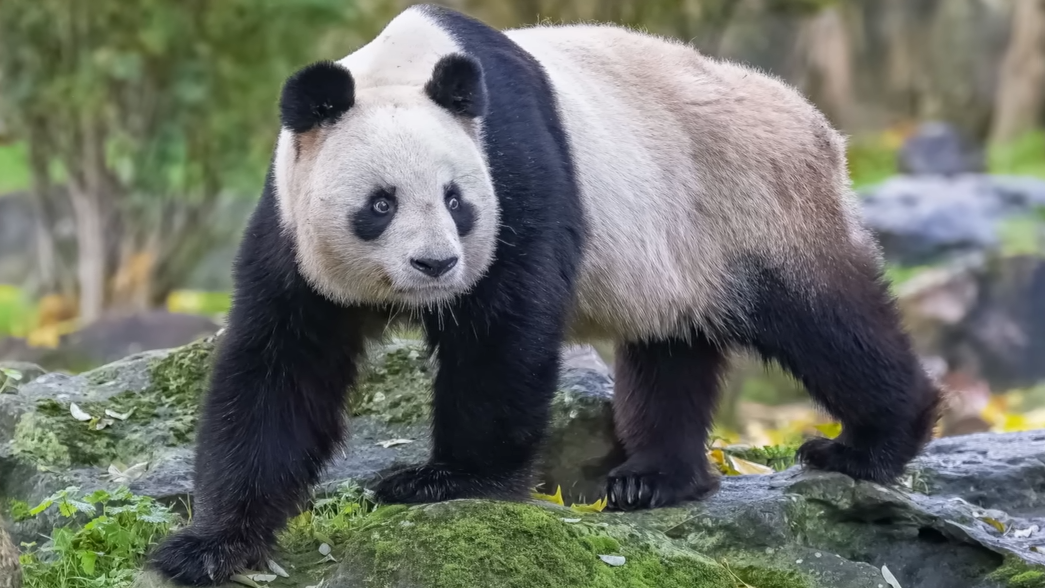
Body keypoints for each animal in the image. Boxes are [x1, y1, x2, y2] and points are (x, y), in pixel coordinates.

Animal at [150, 4, 942, 585]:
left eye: (456, 200)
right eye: (379, 204)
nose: (436, 265)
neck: (401, 69)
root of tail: (818, 124)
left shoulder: (514, 169)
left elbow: (501, 333)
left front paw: (443, 482)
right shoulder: (291, 229)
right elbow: (278, 368)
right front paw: (209, 544)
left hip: (753, 203)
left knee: (824, 321)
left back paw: (865, 444)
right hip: (677, 247)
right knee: (670, 348)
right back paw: (656, 479)